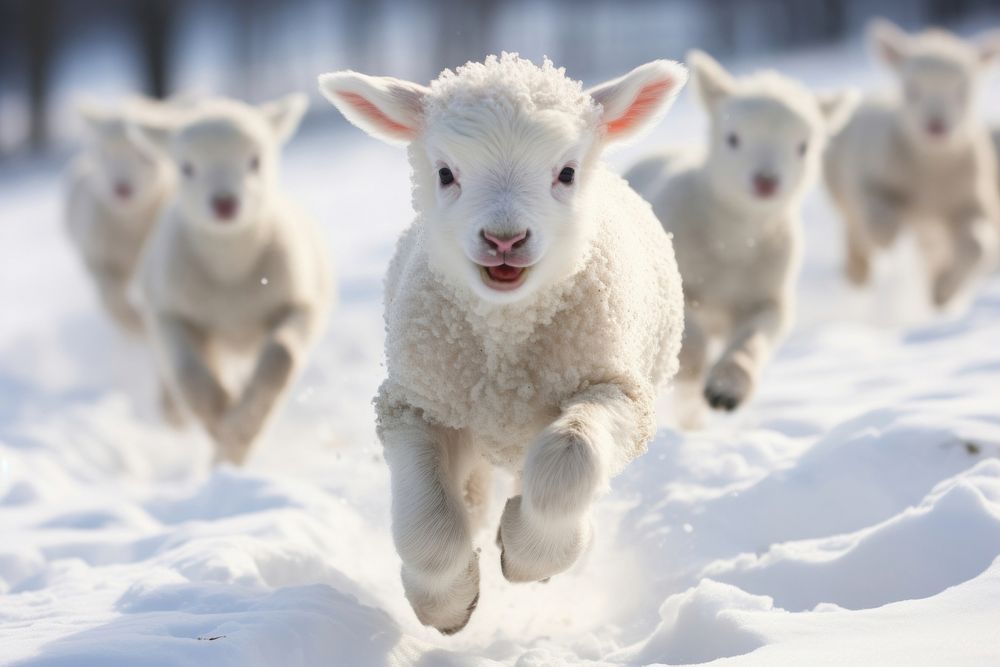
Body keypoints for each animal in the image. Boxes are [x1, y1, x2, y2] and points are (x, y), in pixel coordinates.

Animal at [65, 98, 177, 334]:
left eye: (145, 154)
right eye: (105, 153)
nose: (121, 189)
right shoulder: (96, 255)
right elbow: (110, 297)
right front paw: (136, 323)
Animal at [131, 94, 332, 464]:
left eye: (255, 161)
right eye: (186, 168)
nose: (224, 203)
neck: (230, 270)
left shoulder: (301, 302)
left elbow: (282, 355)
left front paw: (242, 429)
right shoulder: (170, 313)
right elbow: (190, 377)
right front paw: (224, 428)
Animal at [319, 53, 687, 634]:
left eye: (566, 172)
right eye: (446, 173)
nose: (504, 240)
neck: (507, 342)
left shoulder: (616, 386)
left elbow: (572, 454)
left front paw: (527, 552)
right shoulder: (418, 403)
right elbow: (425, 523)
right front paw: (445, 604)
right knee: (467, 497)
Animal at [625, 51, 857, 429]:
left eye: (803, 147)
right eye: (732, 138)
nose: (766, 181)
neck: (735, 238)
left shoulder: (768, 296)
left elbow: (753, 341)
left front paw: (727, 389)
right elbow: (691, 339)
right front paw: (693, 371)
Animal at [824, 20, 1000, 307]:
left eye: (963, 92)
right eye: (912, 90)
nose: (936, 126)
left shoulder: (973, 201)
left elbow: (977, 246)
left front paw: (944, 290)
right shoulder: (868, 179)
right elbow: (879, 216)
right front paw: (885, 238)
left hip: (933, 228)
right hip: (841, 192)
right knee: (856, 231)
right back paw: (859, 271)